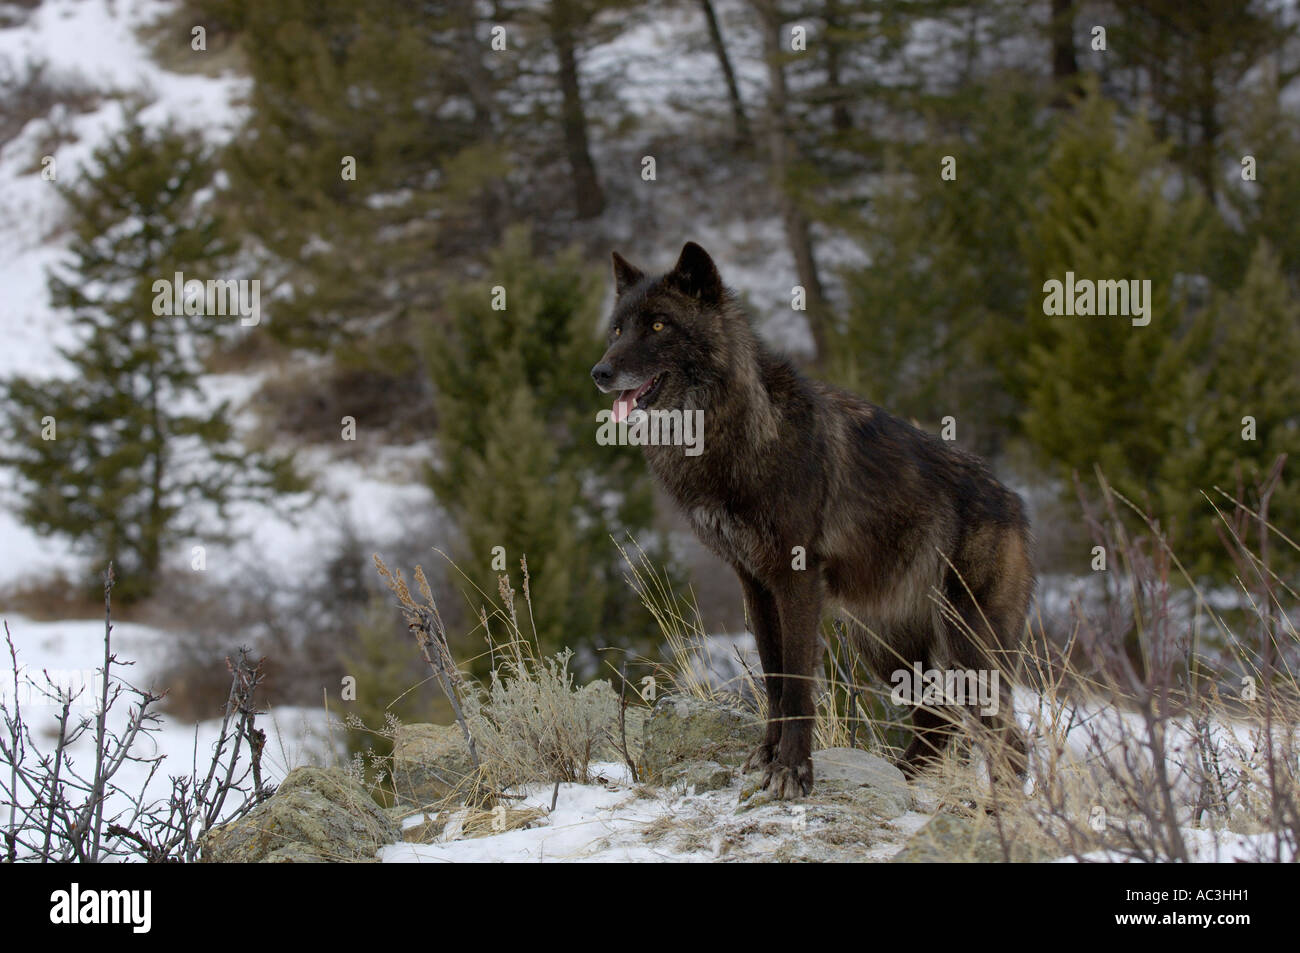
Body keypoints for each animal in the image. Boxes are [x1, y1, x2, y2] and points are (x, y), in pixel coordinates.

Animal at [591, 242, 1033, 799]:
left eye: (657, 326)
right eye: (616, 330)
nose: (600, 372)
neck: (733, 431)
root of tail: (1015, 502)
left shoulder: (796, 578)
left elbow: (799, 684)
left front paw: (793, 771)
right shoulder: (755, 582)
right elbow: (775, 676)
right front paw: (767, 756)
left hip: (967, 647)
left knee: (1009, 741)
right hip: (887, 649)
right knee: (939, 720)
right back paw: (902, 780)